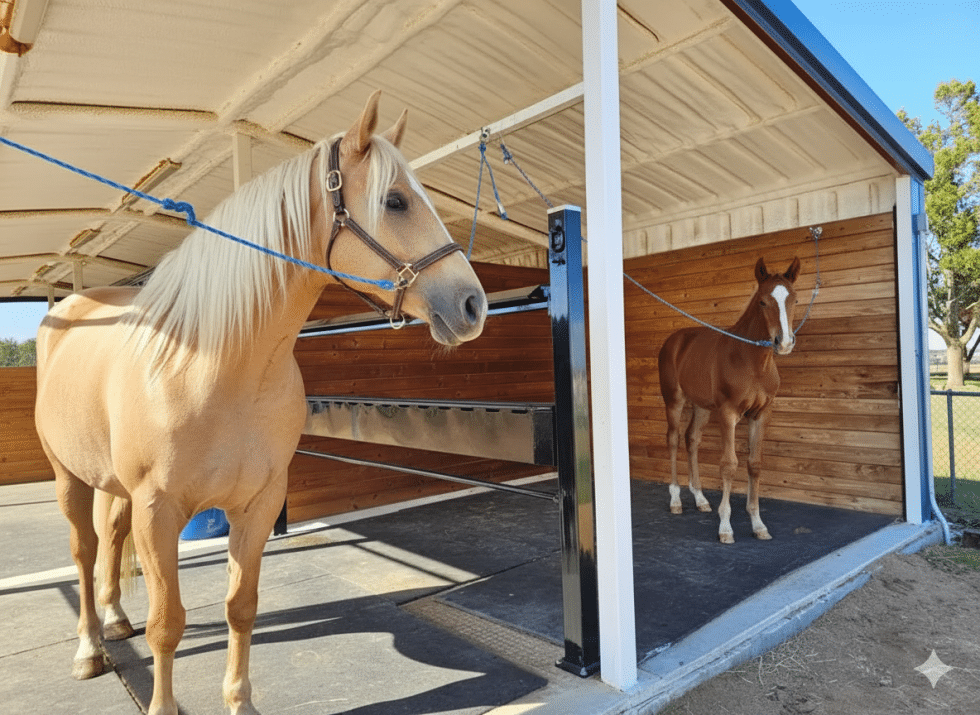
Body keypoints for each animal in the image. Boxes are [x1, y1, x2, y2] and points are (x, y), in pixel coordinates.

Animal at [34, 90, 487, 715]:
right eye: (394, 201)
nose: (473, 305)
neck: (214, 368)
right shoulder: (159, 511)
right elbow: (167, 624)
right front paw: (163, 702)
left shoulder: (259, 503)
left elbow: (240, 609)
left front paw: (240, 700)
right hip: (69, 479)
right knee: (83, 554)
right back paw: (89, 650)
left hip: (114, 488)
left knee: (111, 546)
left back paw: (116, 620)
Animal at [657, 257, 801, 544]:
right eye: (762, 301)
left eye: (795, 299)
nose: (784, 342)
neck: (752, 362)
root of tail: (674, 341)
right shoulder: (728, 413)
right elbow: (729, 465)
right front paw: (725, 526)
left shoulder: (762, 414)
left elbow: (754, 464)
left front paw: (758, 524)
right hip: (674, 400)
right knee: (674, 439)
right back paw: (676, 499)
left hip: (701, 406)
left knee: (692, 439)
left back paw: (700, 498)